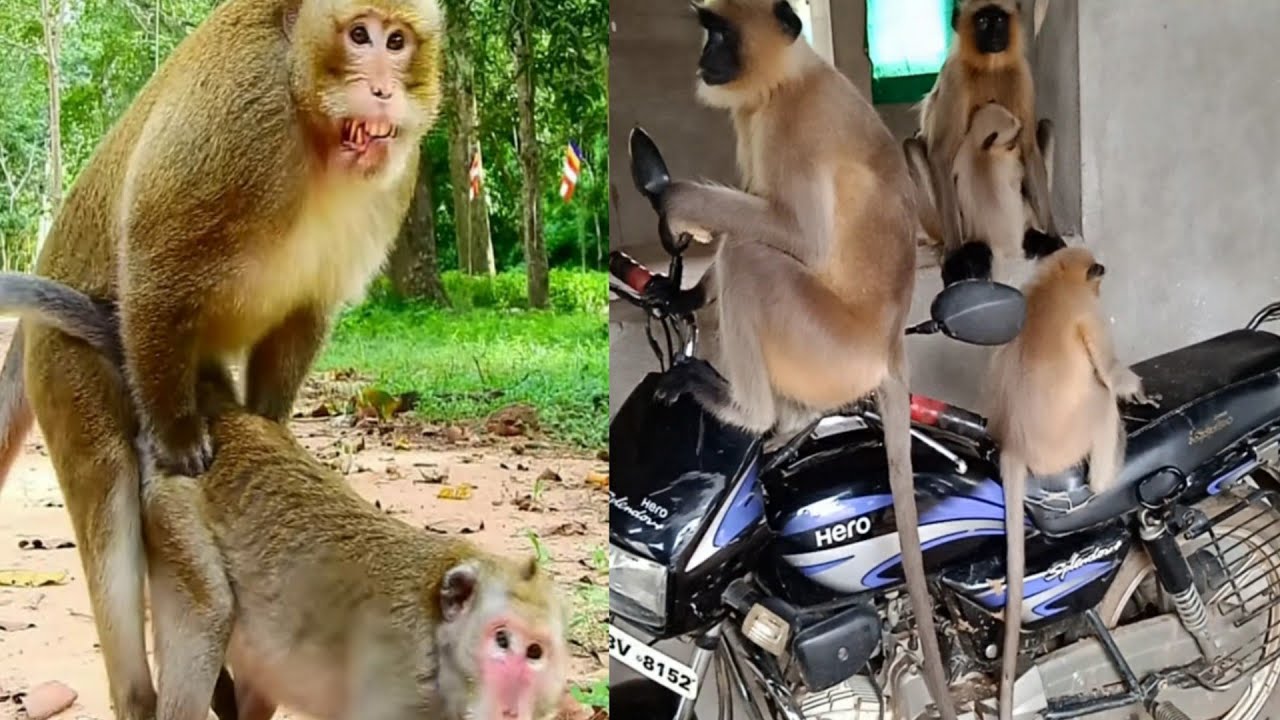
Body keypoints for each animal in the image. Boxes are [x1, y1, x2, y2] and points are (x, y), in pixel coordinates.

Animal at [0, 1, 444, 717]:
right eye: (360, 36)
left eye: (398, 41)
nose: (383, 89)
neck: (309, 127)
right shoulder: (243, 117)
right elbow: (156, 263)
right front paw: (181, 440)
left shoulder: (393, 178)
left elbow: (303, 312)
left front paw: (269, 433)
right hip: (65, 362)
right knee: (111, 492)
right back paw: (140, 693)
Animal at [0, 272, 568, 720]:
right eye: (502, 641)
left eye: (536, 653)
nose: (512, 706)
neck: (438, 646)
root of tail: (223, 420)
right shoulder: (397, 686)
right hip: (171, 508)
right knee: (209, 610)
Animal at [647, 3, 958, 718]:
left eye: (720, 33)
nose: (704, 56)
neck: (787, 81)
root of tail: (887, 348)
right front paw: (683, 292)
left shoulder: (794, 127)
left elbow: (793, 237)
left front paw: (673, 198)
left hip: (823, 342)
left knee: (750, 257)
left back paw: (750, 412)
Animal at [919, 0, 1065, 285]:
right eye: (982, 21)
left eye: (998, 20)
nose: (994, 35)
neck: (991, 65)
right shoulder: (956, 77)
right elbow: (940, 154)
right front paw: (957, 256)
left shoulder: (1022, 73)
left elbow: (1029, 148)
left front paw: (1053, 236)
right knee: (914, 144)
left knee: (1045, 126)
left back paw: (1032, 232)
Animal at [982, 246, 1155, 720]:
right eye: (1096, 281)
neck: (1053, 282)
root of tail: (1014, 445)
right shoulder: (1087, 313)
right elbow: (1111, 374)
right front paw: (1136, 391)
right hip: (1071, 438)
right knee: (1101, 397)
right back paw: (1107, 478)